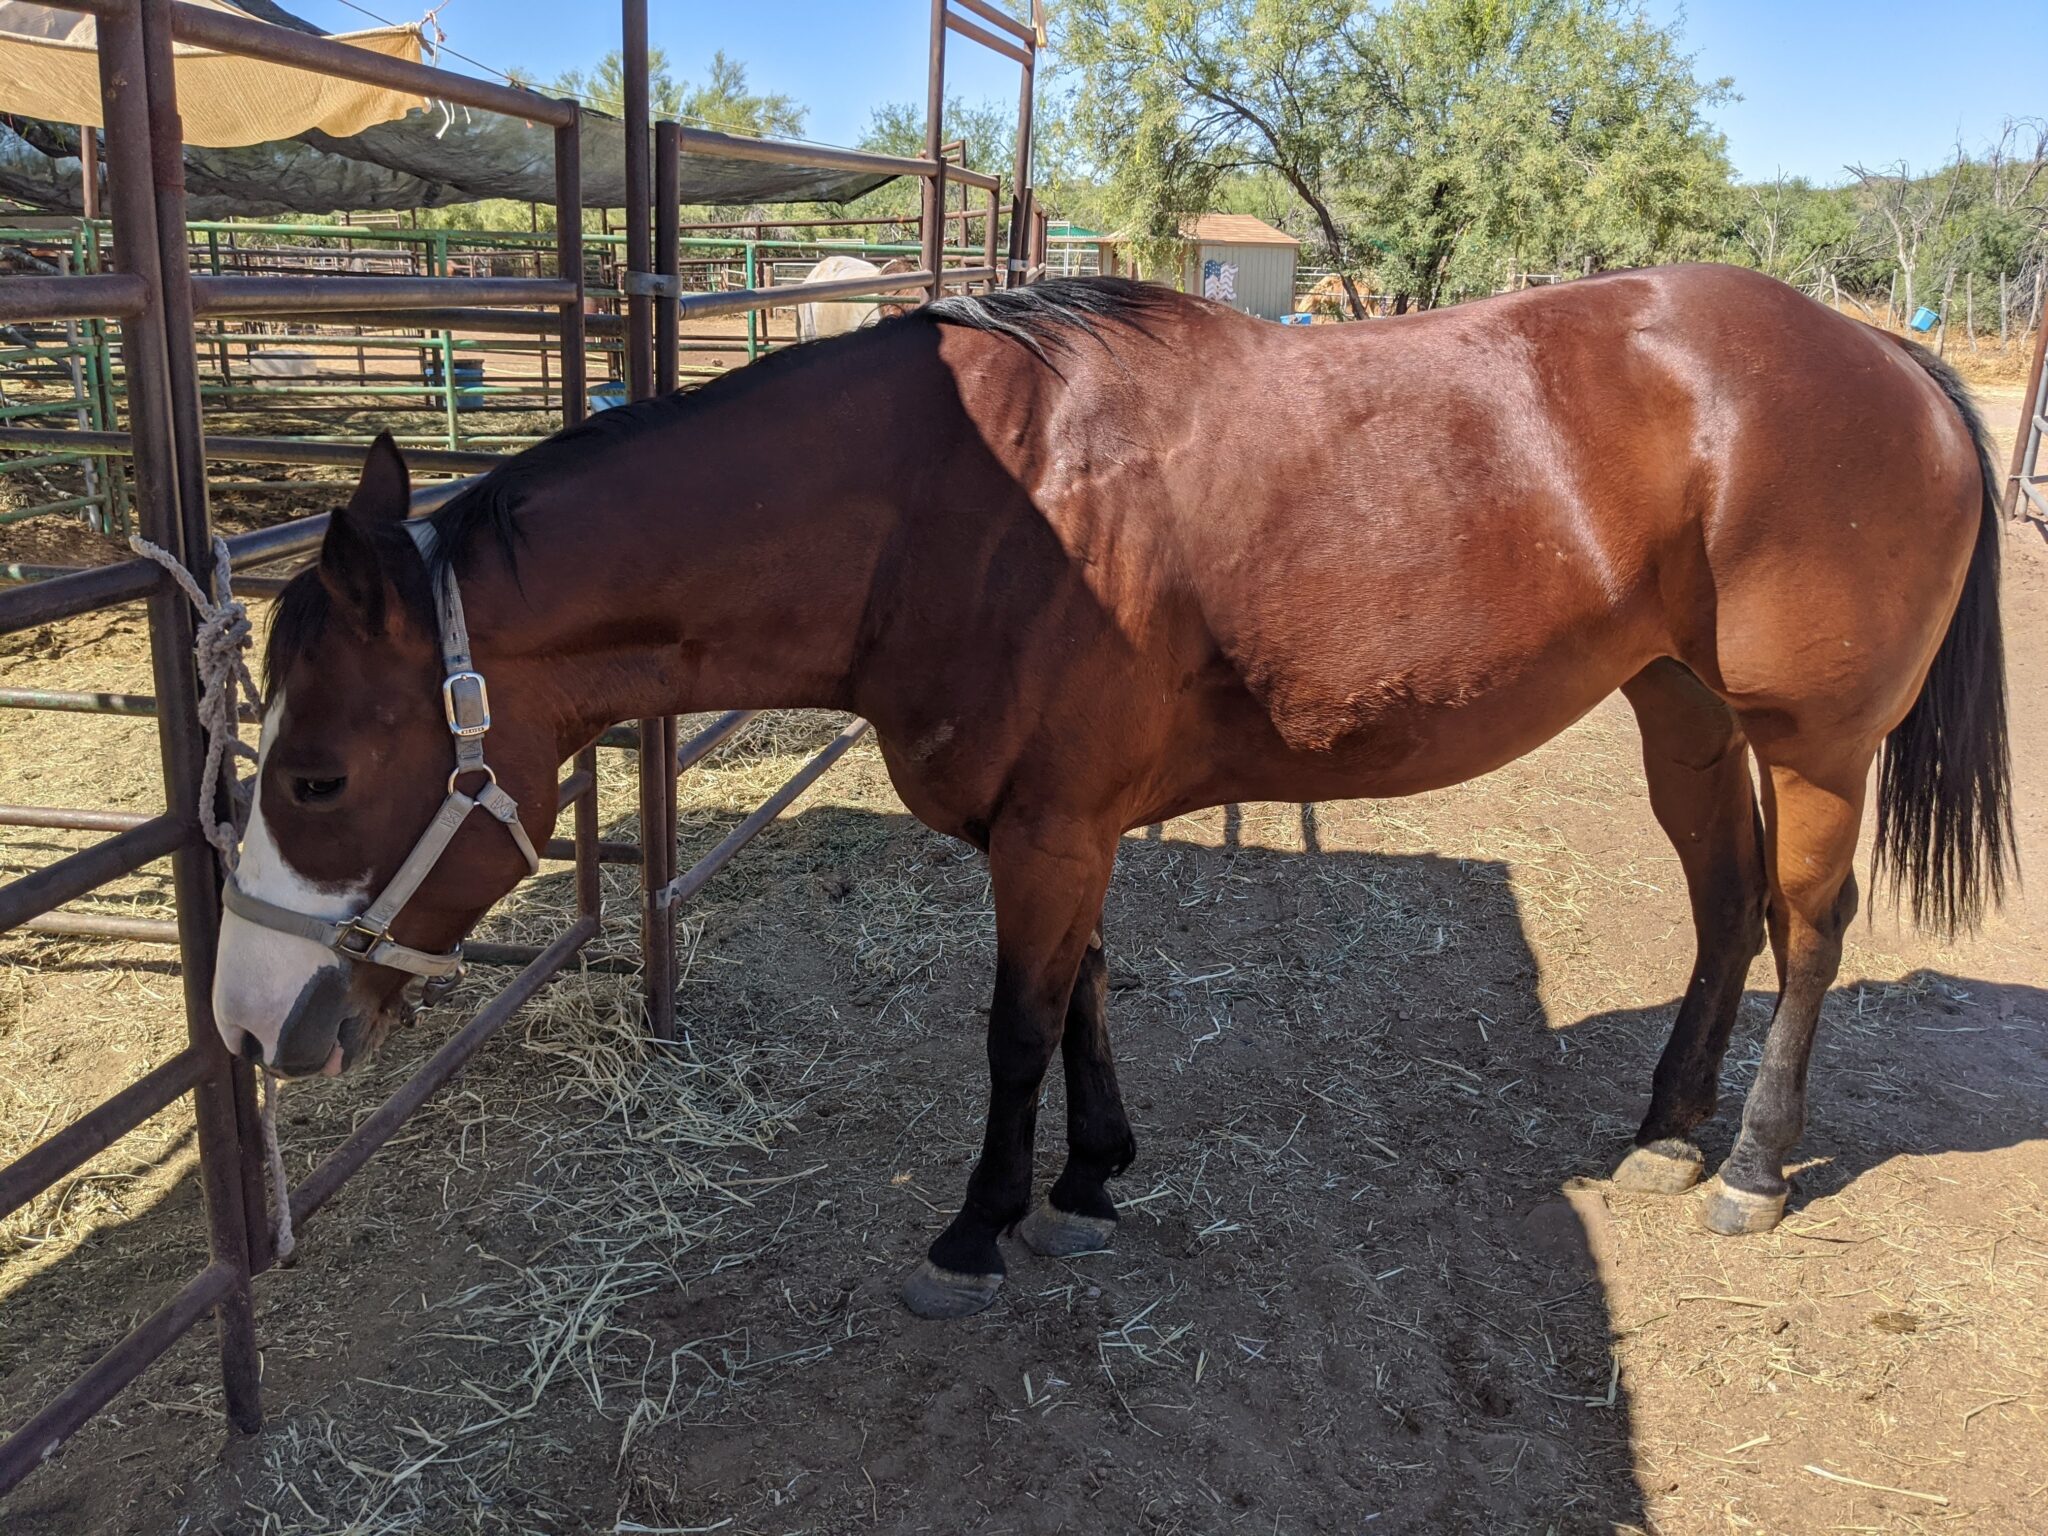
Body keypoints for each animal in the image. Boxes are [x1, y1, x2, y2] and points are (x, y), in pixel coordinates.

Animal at [213, 266, 2012, 1319]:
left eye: (315, 771)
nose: (246, 1021)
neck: (949, 506)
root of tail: (1887, 355)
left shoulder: (1049, 831)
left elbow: (1016, 1023)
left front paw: (978, 1228)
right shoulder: (1064, 828)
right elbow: (1081, 994)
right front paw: (1089, 1179)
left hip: (1813, 742)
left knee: (1805, 927)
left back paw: (1752, 1169)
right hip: (1678, 706)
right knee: (1721, 904)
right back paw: (1661, 1129)